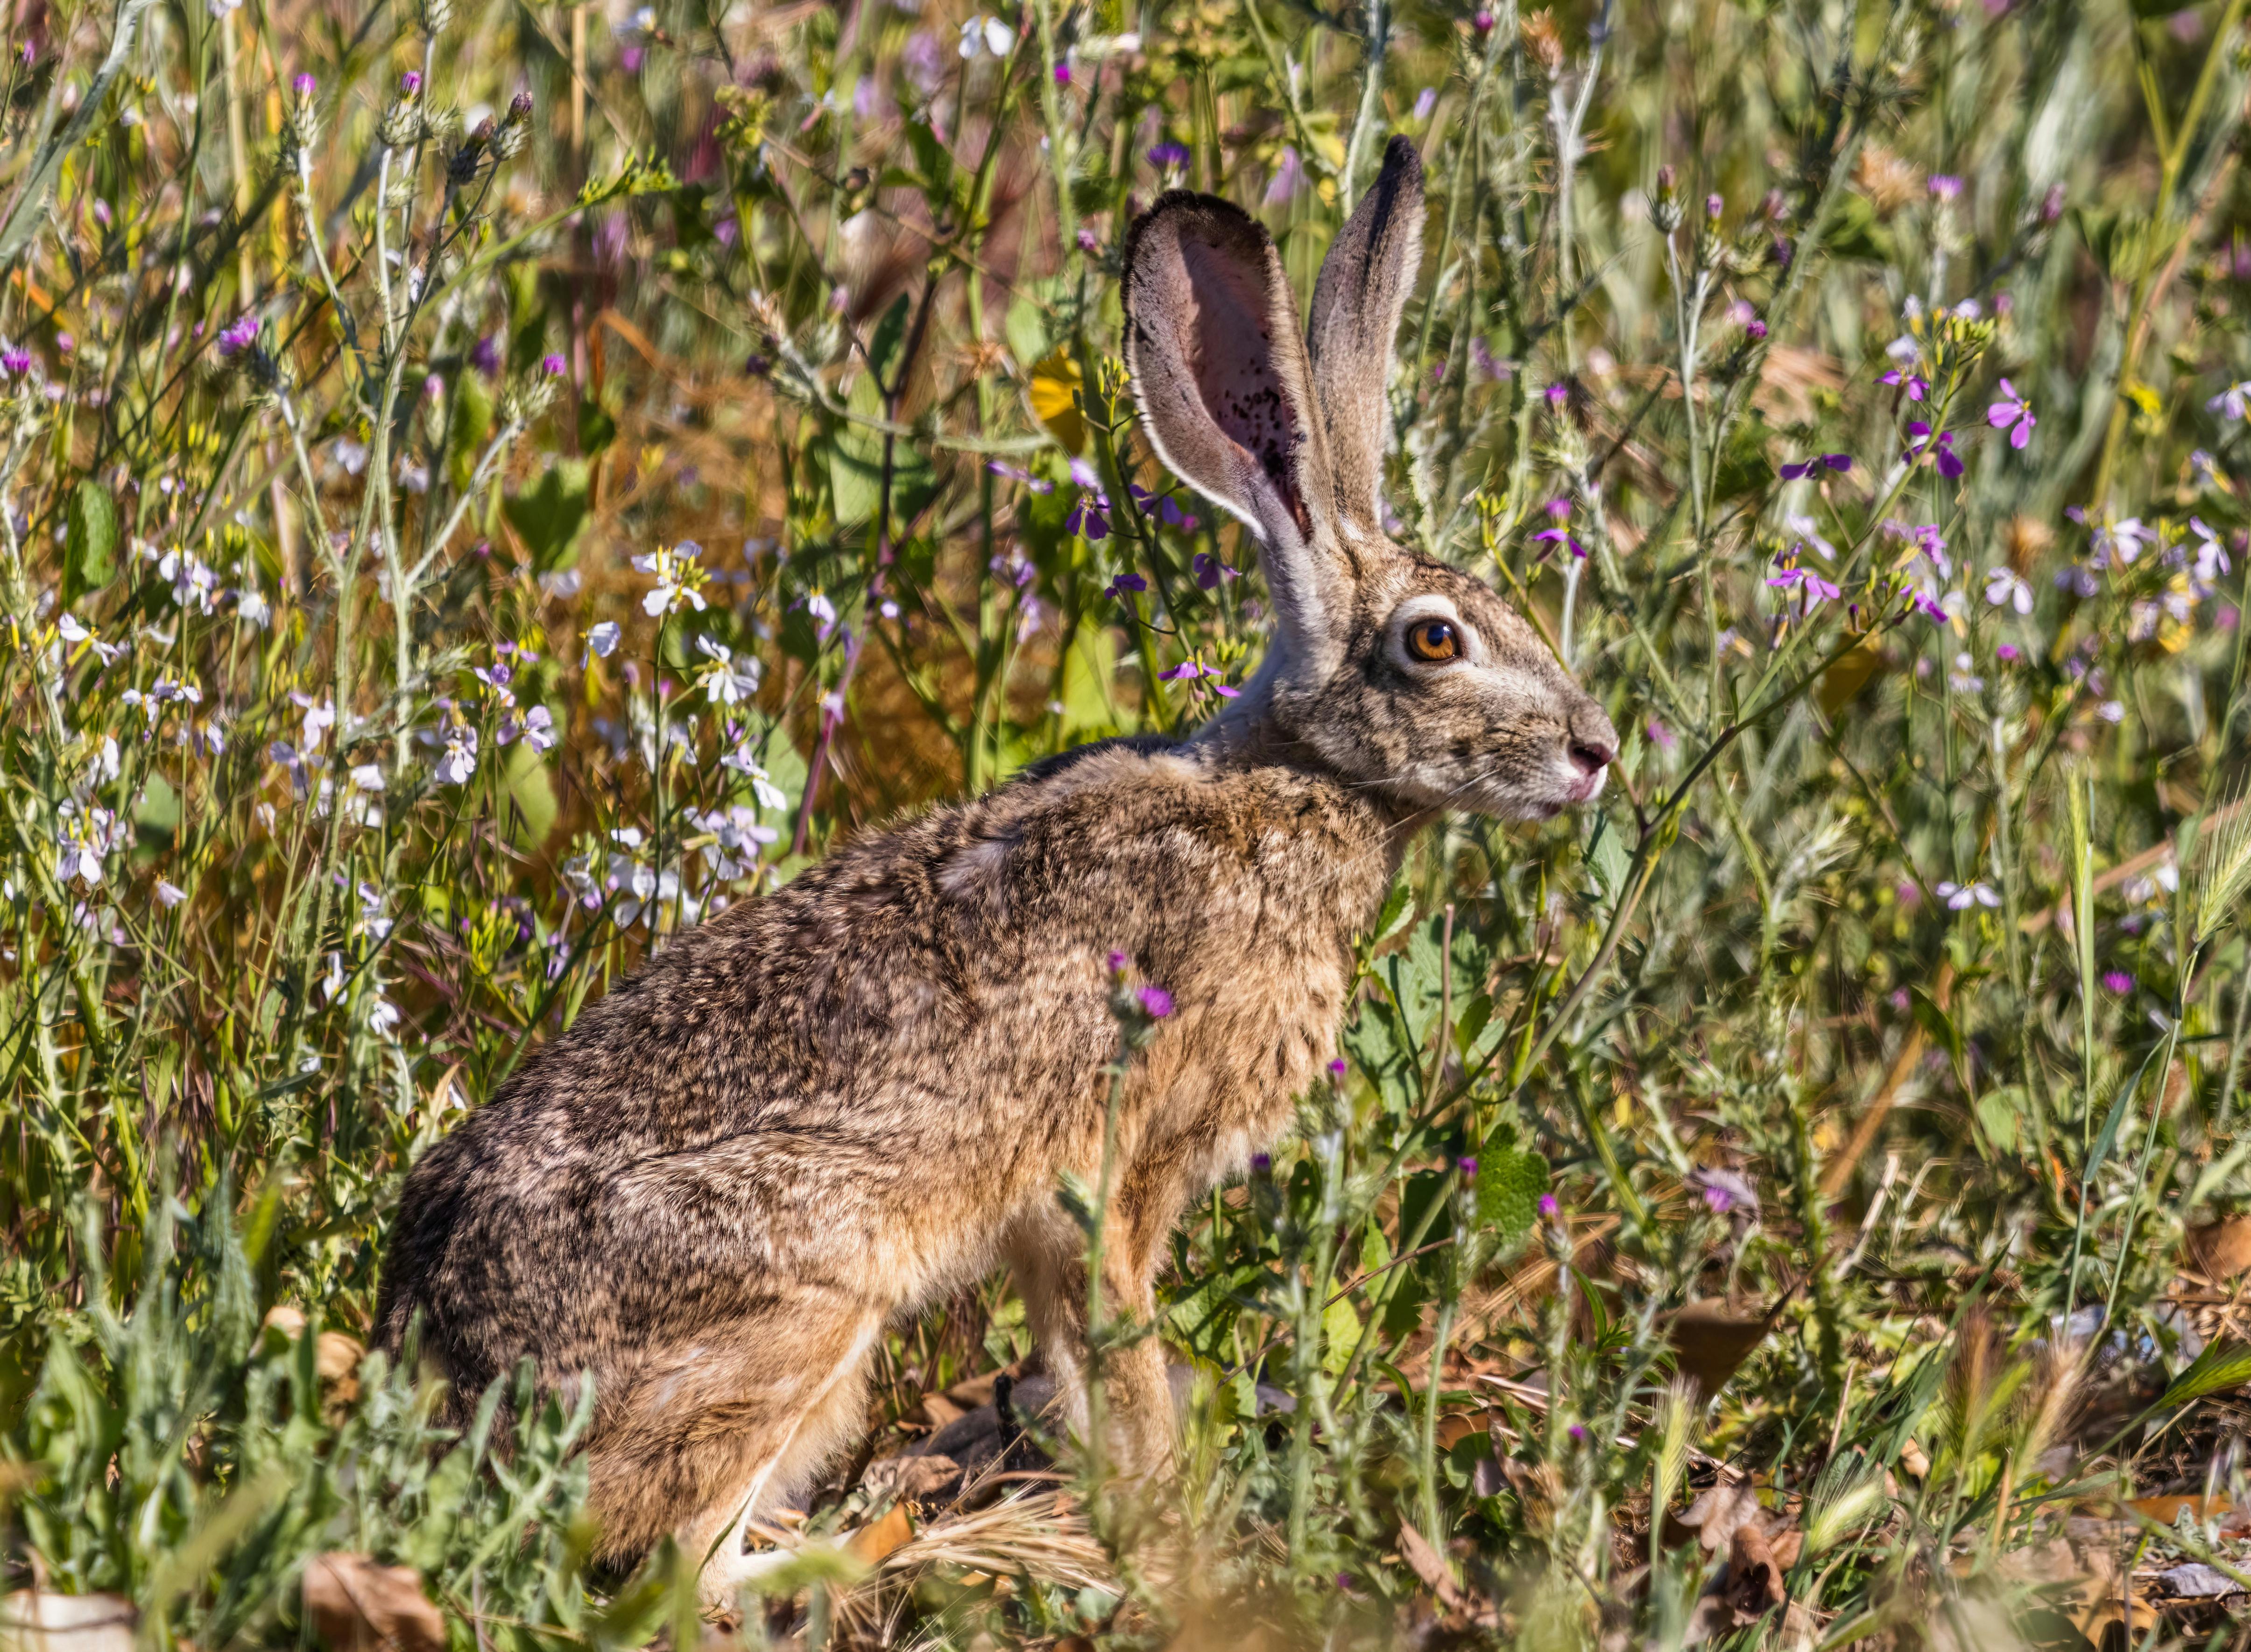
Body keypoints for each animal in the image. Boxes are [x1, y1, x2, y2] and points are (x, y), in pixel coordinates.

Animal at [375, 135, 1617, 1617]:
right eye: (1434, 642)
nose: (1596, 750)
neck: (1299, 782)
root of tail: (445, 1357)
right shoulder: (1115, 1171)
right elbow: (1126, 1364)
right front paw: (1169, 1543)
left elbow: (1083, 1378)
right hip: (805, 1304)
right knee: (681, 1567)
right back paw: (909, 1543)